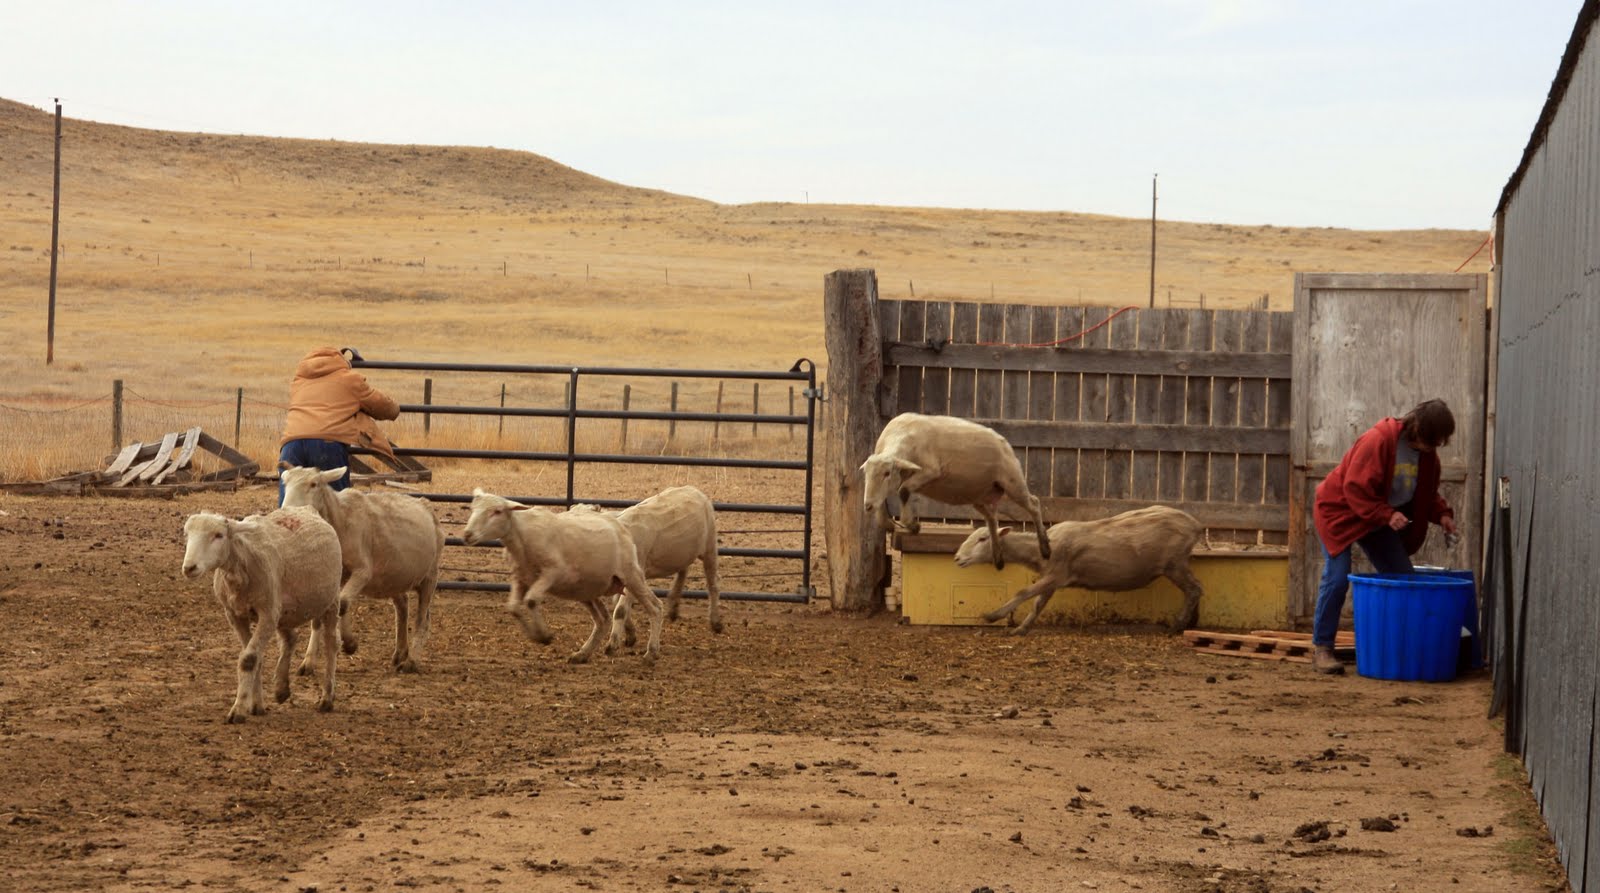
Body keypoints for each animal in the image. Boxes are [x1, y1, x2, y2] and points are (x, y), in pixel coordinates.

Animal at [180, 507, 343, 723]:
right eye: (186, 535)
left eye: (219, 535)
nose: (189, 568)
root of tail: (307, 508)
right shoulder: (235, 615)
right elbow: (254, 657)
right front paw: (256, 705)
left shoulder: (267, 613)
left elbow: (249, 659)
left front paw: (238, 710)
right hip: (284, 611)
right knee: (290, 639)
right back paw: (281, 688)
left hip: (329, 601)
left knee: (332, 643)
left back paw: (327, 698)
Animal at [279, 465, 446, 673]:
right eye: (285, 483)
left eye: (314, 484)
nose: (288, 512)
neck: (340, 520)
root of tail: (425, 504)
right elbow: (324, 614)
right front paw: (308, 662)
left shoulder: (363, 571)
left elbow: (343, 603)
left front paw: (350, 643)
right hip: (393, 575)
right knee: (402, 606)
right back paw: (400, 652)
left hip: (430, 576)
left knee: (422, 621)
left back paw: (411, 661)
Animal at [462, 489, 666, 663]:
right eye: (472, 509)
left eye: (497, 511)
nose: (467, 534)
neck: (521, 535)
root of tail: (618, 524)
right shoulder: (521, 579)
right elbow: (513, 608)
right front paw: (538, 636)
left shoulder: (551, 573)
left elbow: (531, 601)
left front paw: (544, 636)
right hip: (586, 589)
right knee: (603, 620)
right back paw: (582, 654)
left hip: (631, 574)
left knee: (655, 607)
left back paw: (651, 652)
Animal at [860, 412, 1050, 570]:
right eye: (866, 474)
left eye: (887, 473)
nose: (867, 506)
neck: (901, 434)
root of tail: (1005, 442)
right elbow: (883, 500)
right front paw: (887, 523)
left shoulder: (930, 471)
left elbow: (903, 490)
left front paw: (912, 525)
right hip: (979, 496)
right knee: (992, 519)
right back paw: (998, 558)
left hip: (1012, 481)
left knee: (1034, 504)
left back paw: (1045, 548)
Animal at [954, 505, 1204, 635]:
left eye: (983, 538)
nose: (957, 558)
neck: (1040, 549)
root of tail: (1195, 525)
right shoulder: (1051, 579)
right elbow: (1038, 604)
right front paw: (1022, 629)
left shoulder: (1057, 575)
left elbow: (1023, 593)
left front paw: (992, 616)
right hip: (1177, 564)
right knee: (1194, 590)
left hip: (1175, 563)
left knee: (1194, 589)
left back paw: (1178, 626)